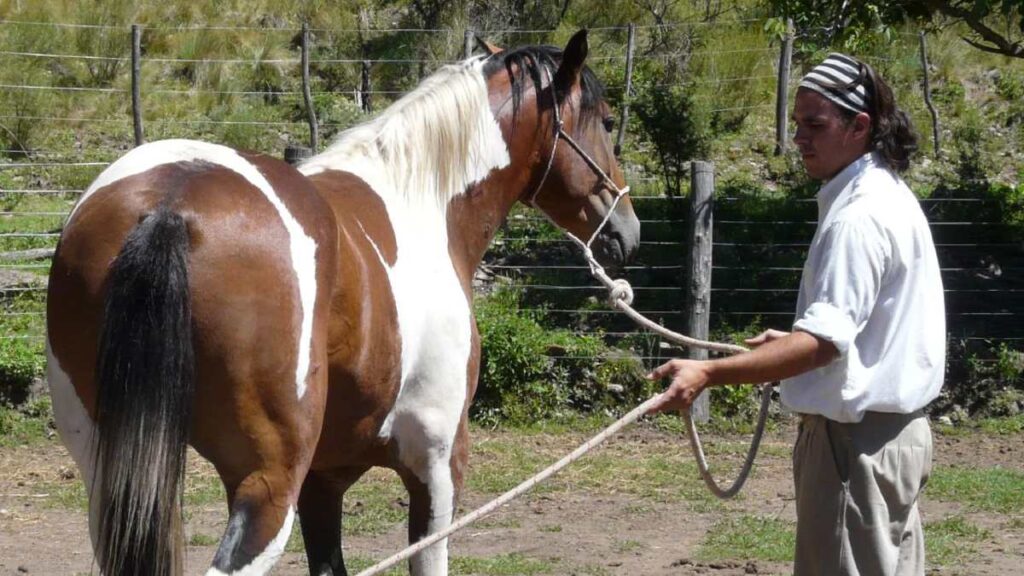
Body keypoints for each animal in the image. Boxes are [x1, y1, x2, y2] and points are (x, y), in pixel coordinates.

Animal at [45, 29, 639, 576]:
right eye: (608, 122)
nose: (627, 231)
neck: (422, 204)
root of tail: (172, 204)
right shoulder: (438, 463)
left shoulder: (323, 479)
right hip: (266, 487)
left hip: (113, 477)